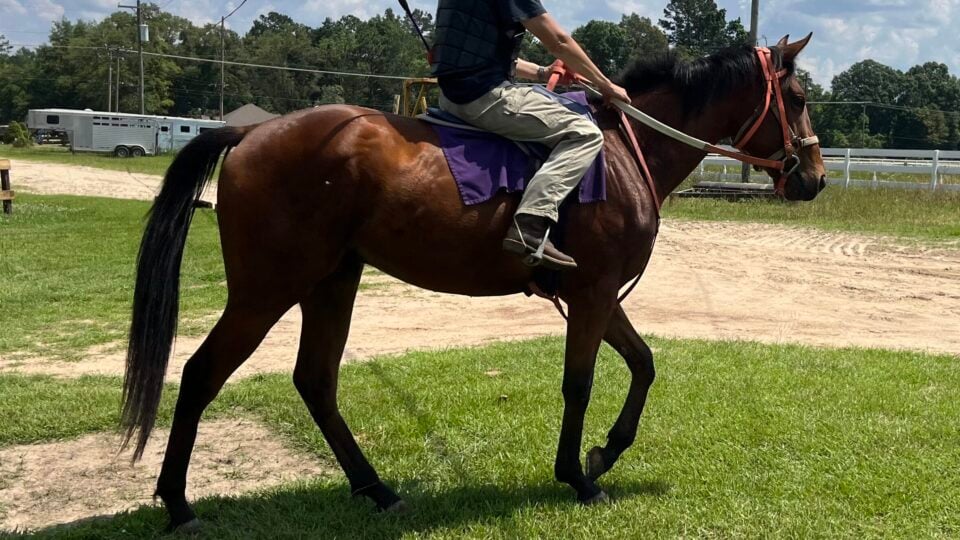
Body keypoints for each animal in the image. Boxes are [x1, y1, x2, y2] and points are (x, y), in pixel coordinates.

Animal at [121, 35, 826, 531]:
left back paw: (377, 490)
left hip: (331, 282)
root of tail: (249, 131)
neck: (626, 150)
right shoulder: (594, 295)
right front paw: (578, 476)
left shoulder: (594, 295)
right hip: (267, 289)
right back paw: (178, 504)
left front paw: (603, 454)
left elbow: (645, 364)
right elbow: (580, 384)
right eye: (795, 100)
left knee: (315, 381)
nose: (814, 177)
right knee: (202, 374)